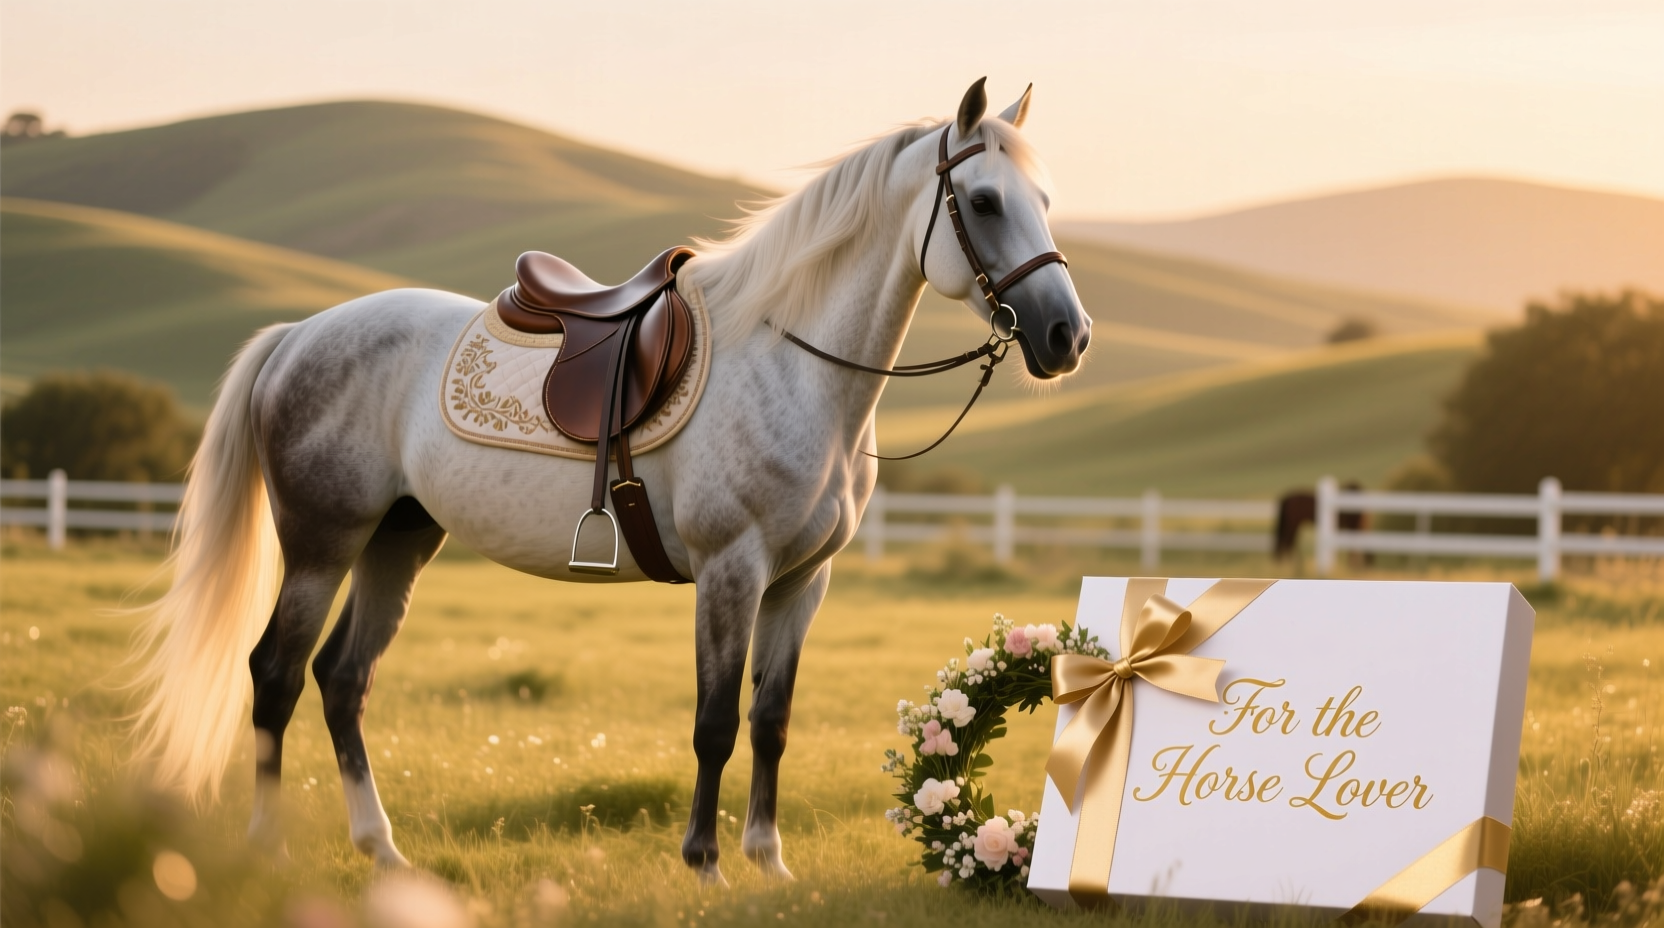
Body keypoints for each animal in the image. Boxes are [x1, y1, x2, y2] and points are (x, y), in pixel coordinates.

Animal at [127, 79, 1091, 884]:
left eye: (1045, 200)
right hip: (321, 546)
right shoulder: (731, 572)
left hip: (398, 541)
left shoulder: (799, 585)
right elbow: (715, 722)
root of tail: (297, 336)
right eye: (984, 200)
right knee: (277, 674)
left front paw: (768, 863)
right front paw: (704, 864)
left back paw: (383, 850)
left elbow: (770, 724)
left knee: (341, 680)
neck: (793, 361)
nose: (1067, 337)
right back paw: (267, 848)